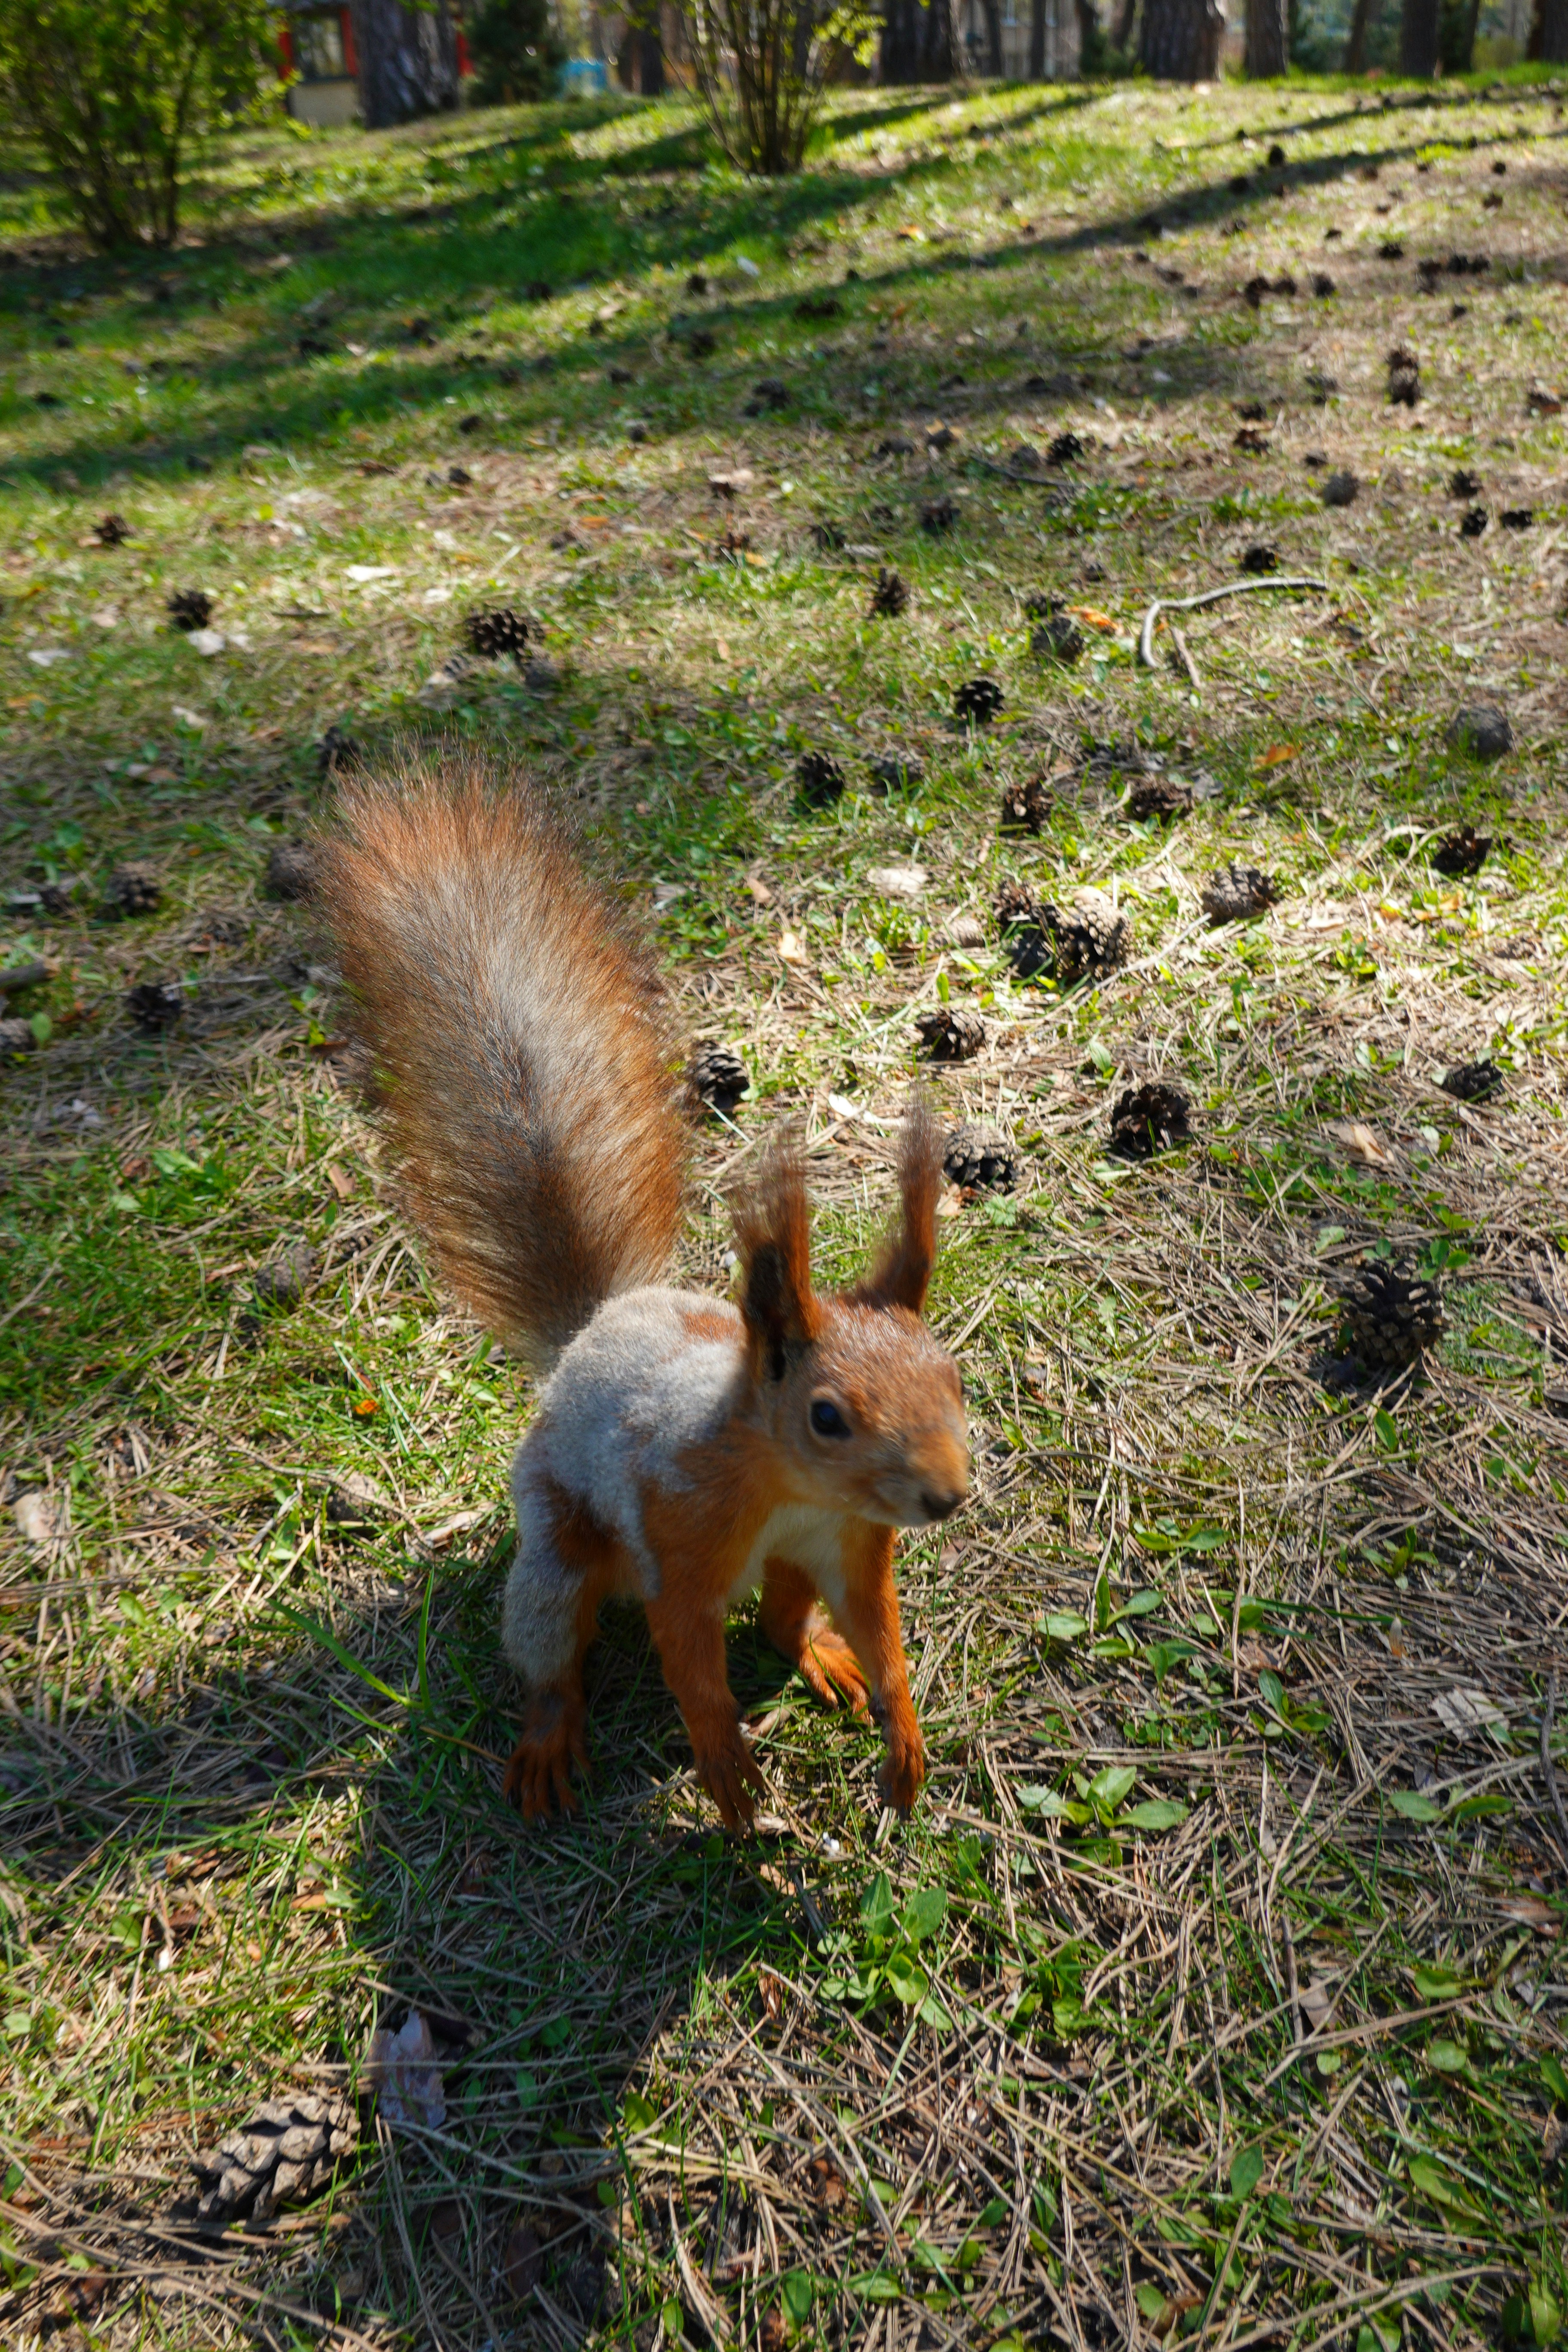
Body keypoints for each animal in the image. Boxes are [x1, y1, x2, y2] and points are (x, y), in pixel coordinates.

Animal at [317, 758, 969, 1830]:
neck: (783, 1482)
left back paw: (818, 1658)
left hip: (785, 1568)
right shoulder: (679, 1539)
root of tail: (595, 1329)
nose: (947, 1497)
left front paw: (903, 1731)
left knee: (782, 1619)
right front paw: (728, 1770)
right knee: (549, 1652)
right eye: (826, 1416)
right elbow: (689, 1658)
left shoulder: (850, 1544)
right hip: (554, 1553)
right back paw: (548, 1739)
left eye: (955, 1380)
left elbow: (880, 1629)